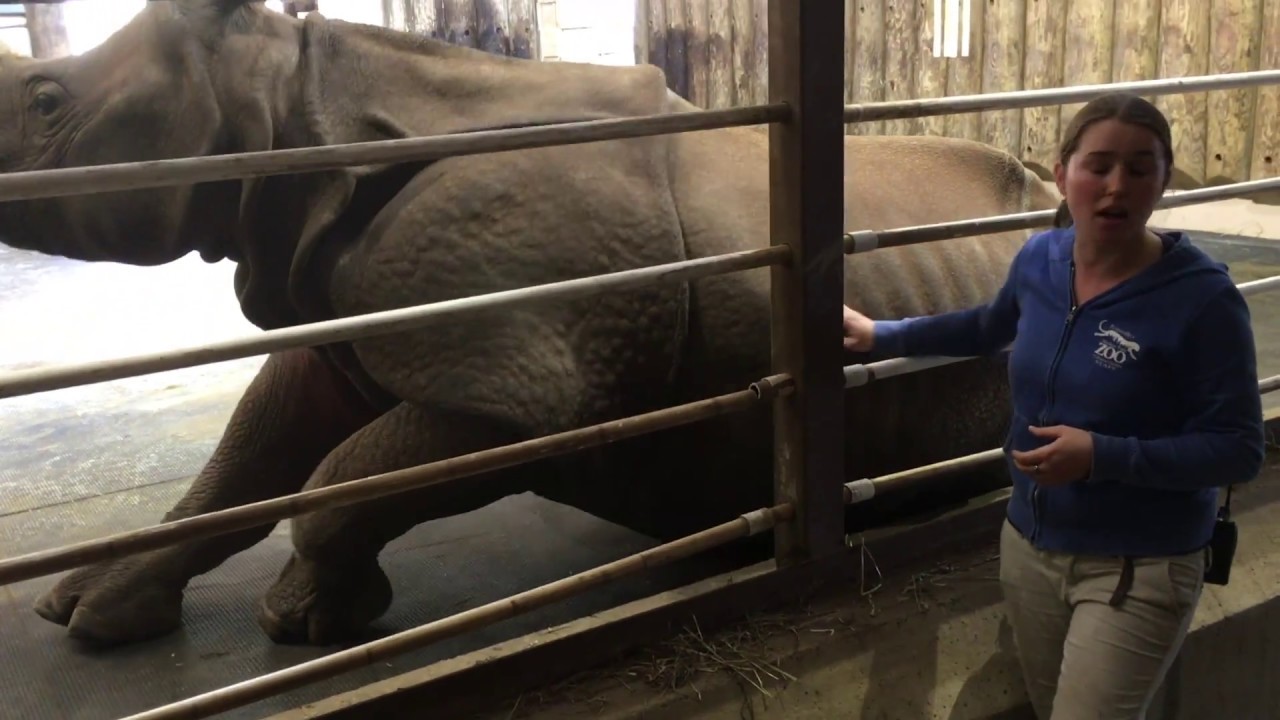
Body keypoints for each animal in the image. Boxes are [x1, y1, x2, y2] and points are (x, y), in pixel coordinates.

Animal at [0, 0, 1059, 647]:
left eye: (46, 103)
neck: (297, 116)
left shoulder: (521, 389)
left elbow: (335, 481)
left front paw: (311, 623)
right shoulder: (331, 320)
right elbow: (246, 461)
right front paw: (87, 615)